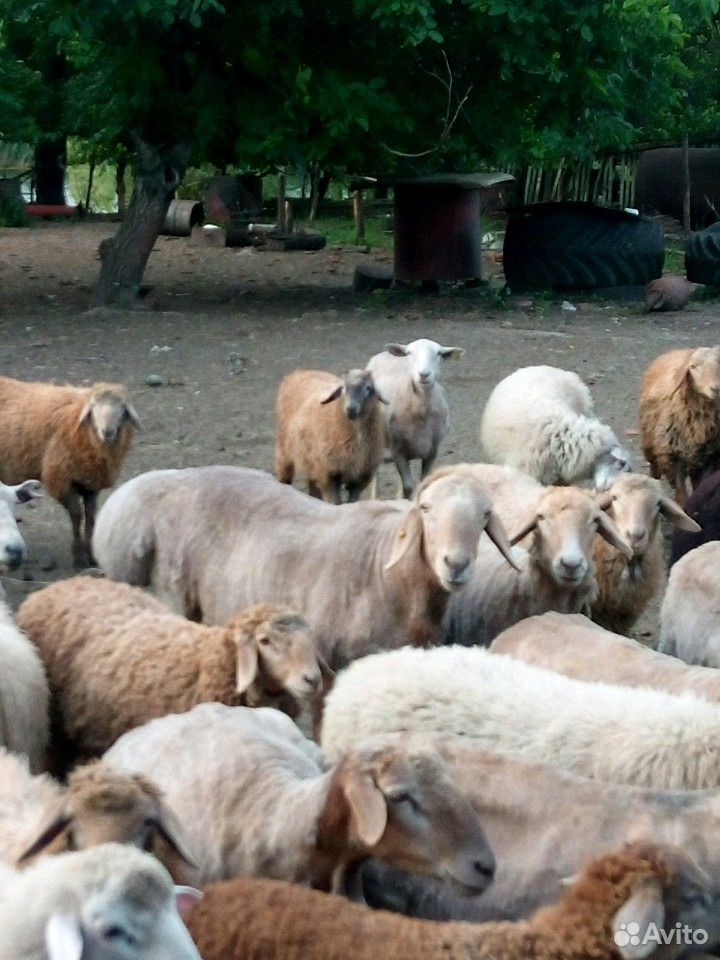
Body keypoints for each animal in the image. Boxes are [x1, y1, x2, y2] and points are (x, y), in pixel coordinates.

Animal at [0, 376, 140, 566]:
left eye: (122, 408)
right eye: (94, 407)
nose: (107, 431)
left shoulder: (90, 483)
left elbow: (91, 516)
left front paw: (91, 555)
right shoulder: (61, 480)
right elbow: (77, 515)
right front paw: (78, 556)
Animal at [16, 577, 326, 765]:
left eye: (311, 639)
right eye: (264, 641)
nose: (312, 679)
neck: (207, 662)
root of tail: (55, 586)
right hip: (56, 735)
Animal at [275, 368, 385, 503]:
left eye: (368, 388)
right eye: (343, 388)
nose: (351, 408)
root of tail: (299, 372)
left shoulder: (359, 479)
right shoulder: (328, 475)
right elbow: (335, 503)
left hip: (311, 461)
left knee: (313, 490)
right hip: (285, 451)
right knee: (284, 478)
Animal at [366, 338, 464, 497]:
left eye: (439, 353)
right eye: (409, 353)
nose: (423, 374)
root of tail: (384, 353)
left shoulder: (431, 451)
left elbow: (423, 482)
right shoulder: (398, 452)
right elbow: (408, 487)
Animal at [638, 346, 720, 505]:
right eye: (693, 366)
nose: (716, 388)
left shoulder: (710, 456)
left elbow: (701, 486)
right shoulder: (673, 456)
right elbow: (681, 491)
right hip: (649, 442)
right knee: (654, 468)